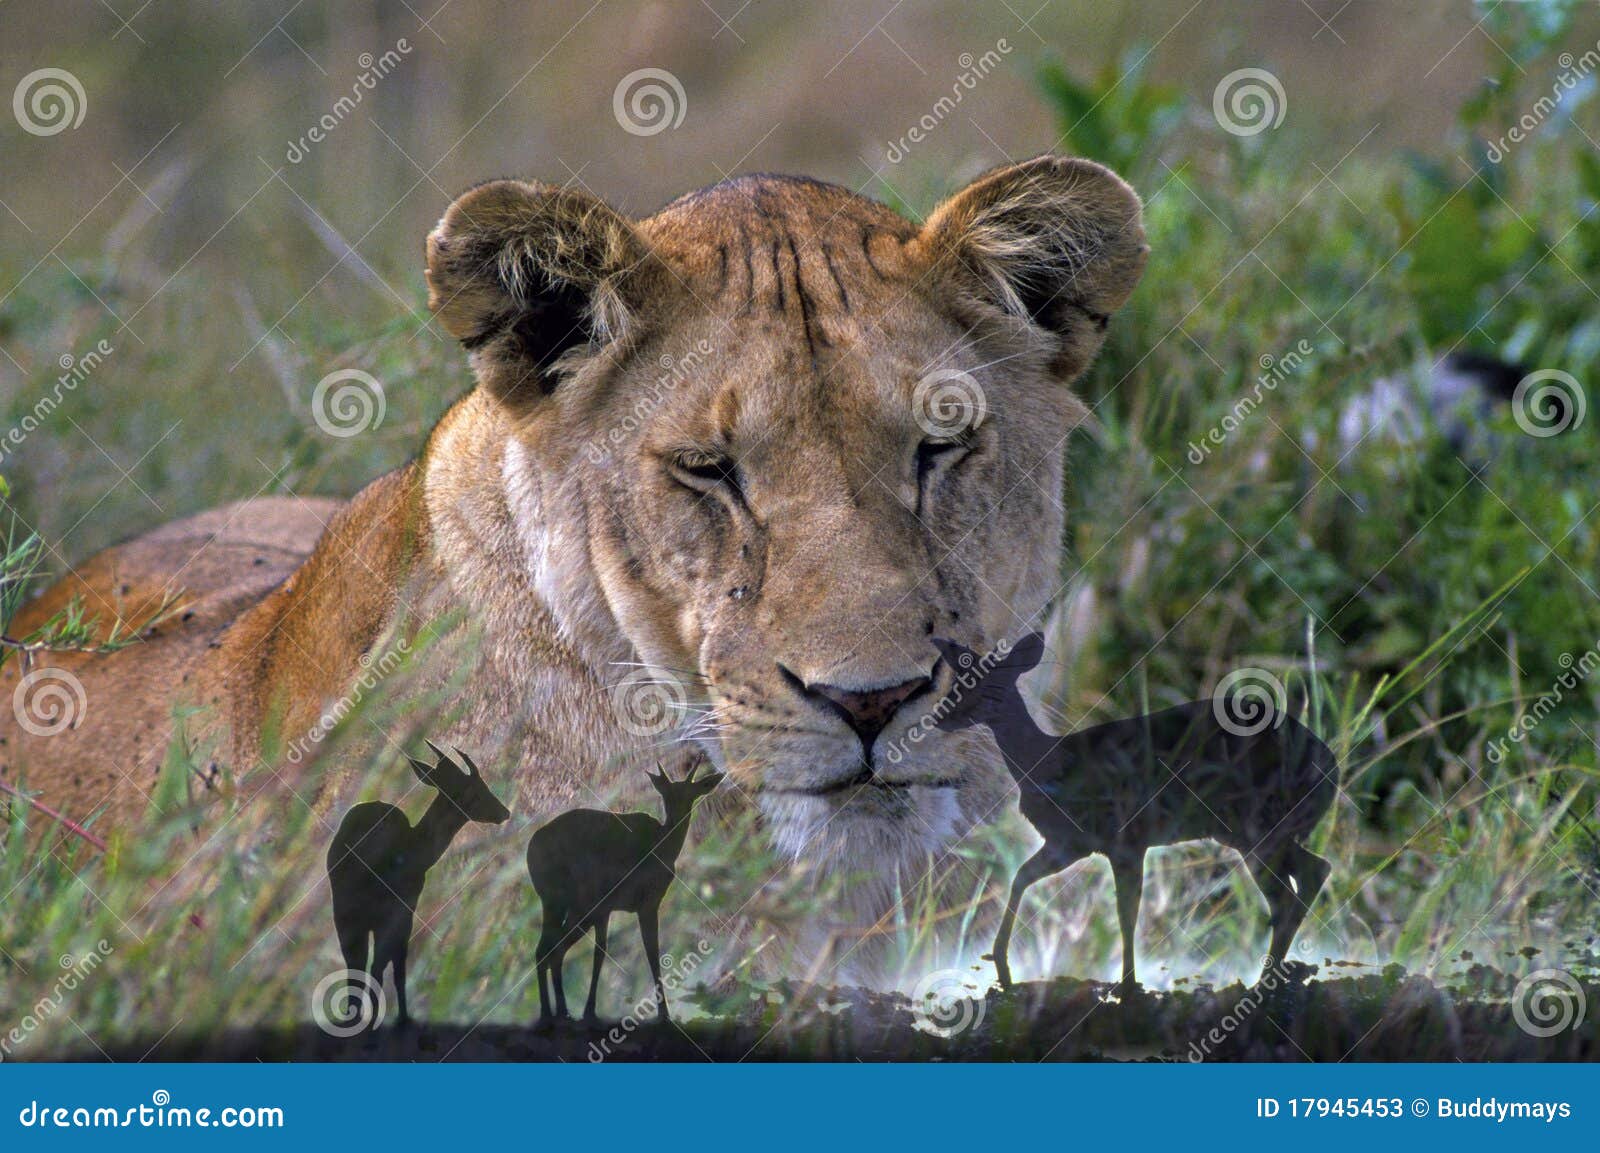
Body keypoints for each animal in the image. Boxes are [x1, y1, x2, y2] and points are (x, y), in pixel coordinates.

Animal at [326, 742, 510, 1027]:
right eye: (477, 790)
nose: (504, 812)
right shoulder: (403, 913)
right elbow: (395, 967)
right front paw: (400, 1018)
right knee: (372, 965)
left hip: (346, 914)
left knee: (356, 965)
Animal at [526, 760, 724, 1025]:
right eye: (667, 795)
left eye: (690, 794)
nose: (676, 817)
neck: (662, 848)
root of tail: (532, 844)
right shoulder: (645, 903)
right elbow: (649, 952)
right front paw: (663, 1015)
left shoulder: (611, 908)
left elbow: (605, 952)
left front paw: (590, 1011)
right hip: (567, 902)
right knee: (551, 949)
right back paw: (557, 1012)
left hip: (559, 903)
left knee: (547, 949)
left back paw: (553, 1012)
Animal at [930, 634, 1336, 991]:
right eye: (957, 683)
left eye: (988, 687)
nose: (940, 718)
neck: (1047, 764)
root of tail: (1331, 768)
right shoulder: (1069, 843)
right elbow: (1022, 877)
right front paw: (997, 957)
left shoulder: (1122, 839)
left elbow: (1127, 912)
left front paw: (1127, 982)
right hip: (1259, 831)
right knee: (1314, 871)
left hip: (1259, 824)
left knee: (1289, 892)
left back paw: (1265, 980)